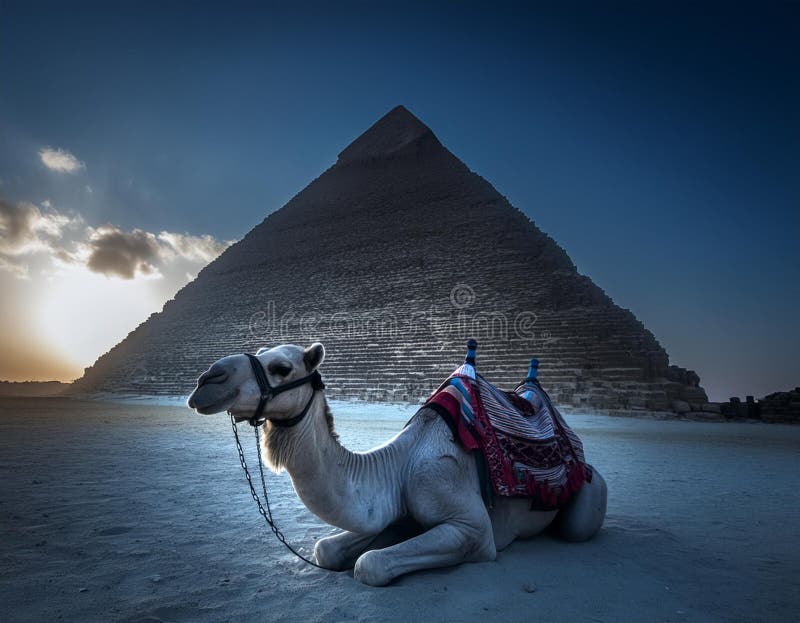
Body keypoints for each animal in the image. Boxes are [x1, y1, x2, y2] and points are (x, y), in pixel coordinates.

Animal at [187, 342, 607, 586]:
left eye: (281, 368)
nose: (207, 379)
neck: (396, 467)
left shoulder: (471, 526)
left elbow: (369, 565)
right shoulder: (392, 512)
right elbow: (326, 549)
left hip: (588, 494)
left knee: (576, 528)